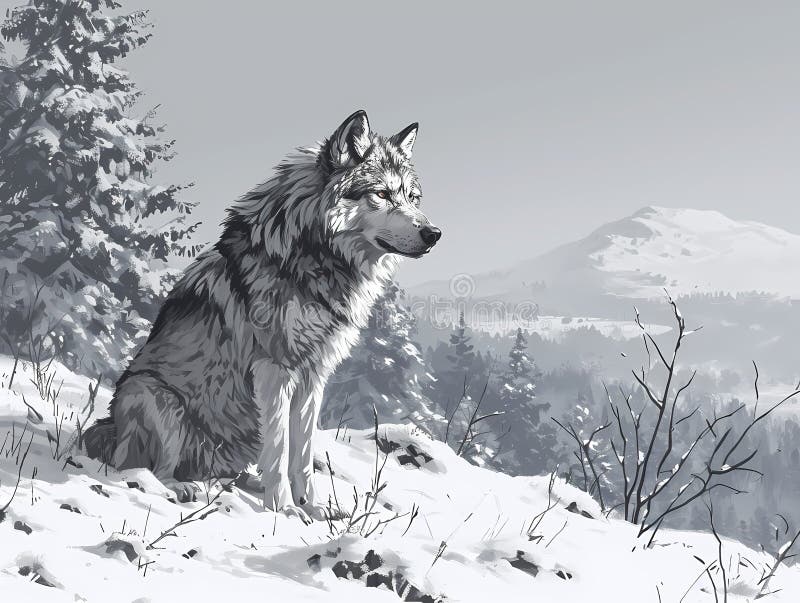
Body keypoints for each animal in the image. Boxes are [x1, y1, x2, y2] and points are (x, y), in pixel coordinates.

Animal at [83, 110, 440, 522]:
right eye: (381, 194)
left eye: (412, 198)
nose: (434, 233)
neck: (316, 262)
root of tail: (104, 428)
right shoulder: (275, 371)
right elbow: (280, 448)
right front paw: (284, 509)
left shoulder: (314, 377)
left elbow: (301, 453)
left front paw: (312, 506)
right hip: (156, 399)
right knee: (146, 468)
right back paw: (181, 486)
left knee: (227, 472)